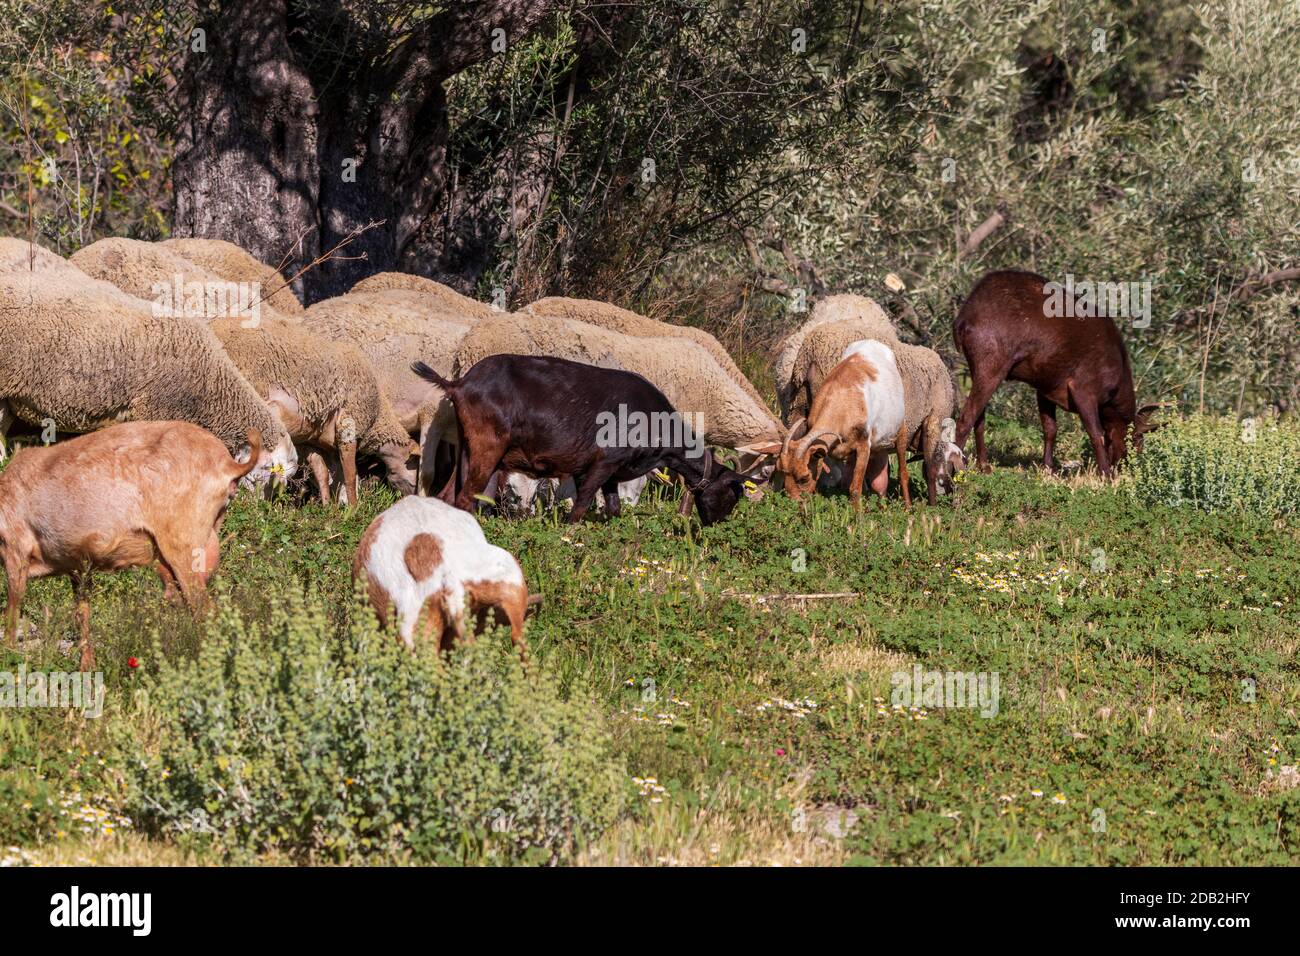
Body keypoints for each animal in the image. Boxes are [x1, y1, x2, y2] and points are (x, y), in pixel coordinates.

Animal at [1, 421, 262, 669]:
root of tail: (228, 465)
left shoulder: (15, 549)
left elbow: (13, 611)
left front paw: (9, 656)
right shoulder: (78, 565)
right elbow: (82, 613)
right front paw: (87, 667)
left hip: (183, 545)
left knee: (205, 611)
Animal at [208, 317, 419, 503]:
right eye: (416, 472)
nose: (416, 498)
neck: (378, 416)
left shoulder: (312, 441)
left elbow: (324, 475)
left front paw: (328, 507)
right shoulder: (348, 428)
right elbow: (350, 477)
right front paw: (353, 511)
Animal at [411, 354, 751, 525]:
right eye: (733, 494)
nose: (716, 526)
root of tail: (460, 383)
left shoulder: (609, 471)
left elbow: (613, 508)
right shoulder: (603, 463)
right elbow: (582, 504)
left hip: (467, 447)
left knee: (447, 495)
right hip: (487, 445)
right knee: (466, 497)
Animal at [777, 340, 908, 506]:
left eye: (804, 477)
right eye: (781, 471)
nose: (794, 503)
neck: (842, 397)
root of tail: (872, 342)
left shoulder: (864, 445)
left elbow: (855, 489)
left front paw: (857, 513)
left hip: (900, 428)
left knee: (903, 472)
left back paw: (907, 507)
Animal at [953, 270, 1161, 477]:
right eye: (1137, 441)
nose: (1125, 468)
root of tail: (965, 318)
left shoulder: (1045, 388)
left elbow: (1050, 429)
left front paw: (1048, 469)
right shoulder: (1083, 390)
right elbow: (1096, 433)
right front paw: (1105, 474)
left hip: (978, 371)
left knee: (979, 419)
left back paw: (984, 465)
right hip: (992, 369)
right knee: (965, 419)